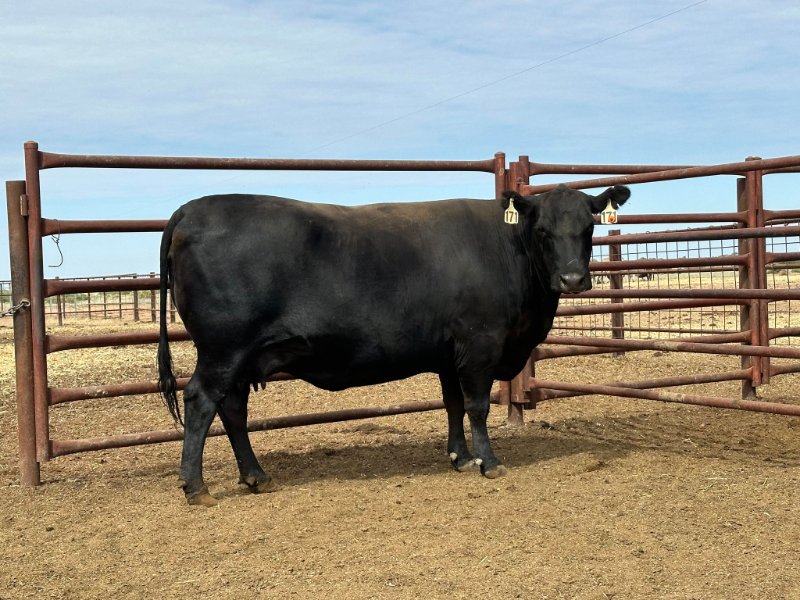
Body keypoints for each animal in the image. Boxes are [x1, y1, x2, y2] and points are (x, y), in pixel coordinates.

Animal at [157, 183, 631, 505]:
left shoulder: (448, 353)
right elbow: (476, 405)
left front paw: (460, 457)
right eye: (544, 230)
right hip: (223, 350)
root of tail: (191, 209)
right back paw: (196, 486)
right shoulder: (479, 343)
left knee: (233, 408)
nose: (573, 279)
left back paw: (256, 476)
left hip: (241, 357)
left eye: (589, 226)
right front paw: (489, 462)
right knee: (202, 401)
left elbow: (453, 404)